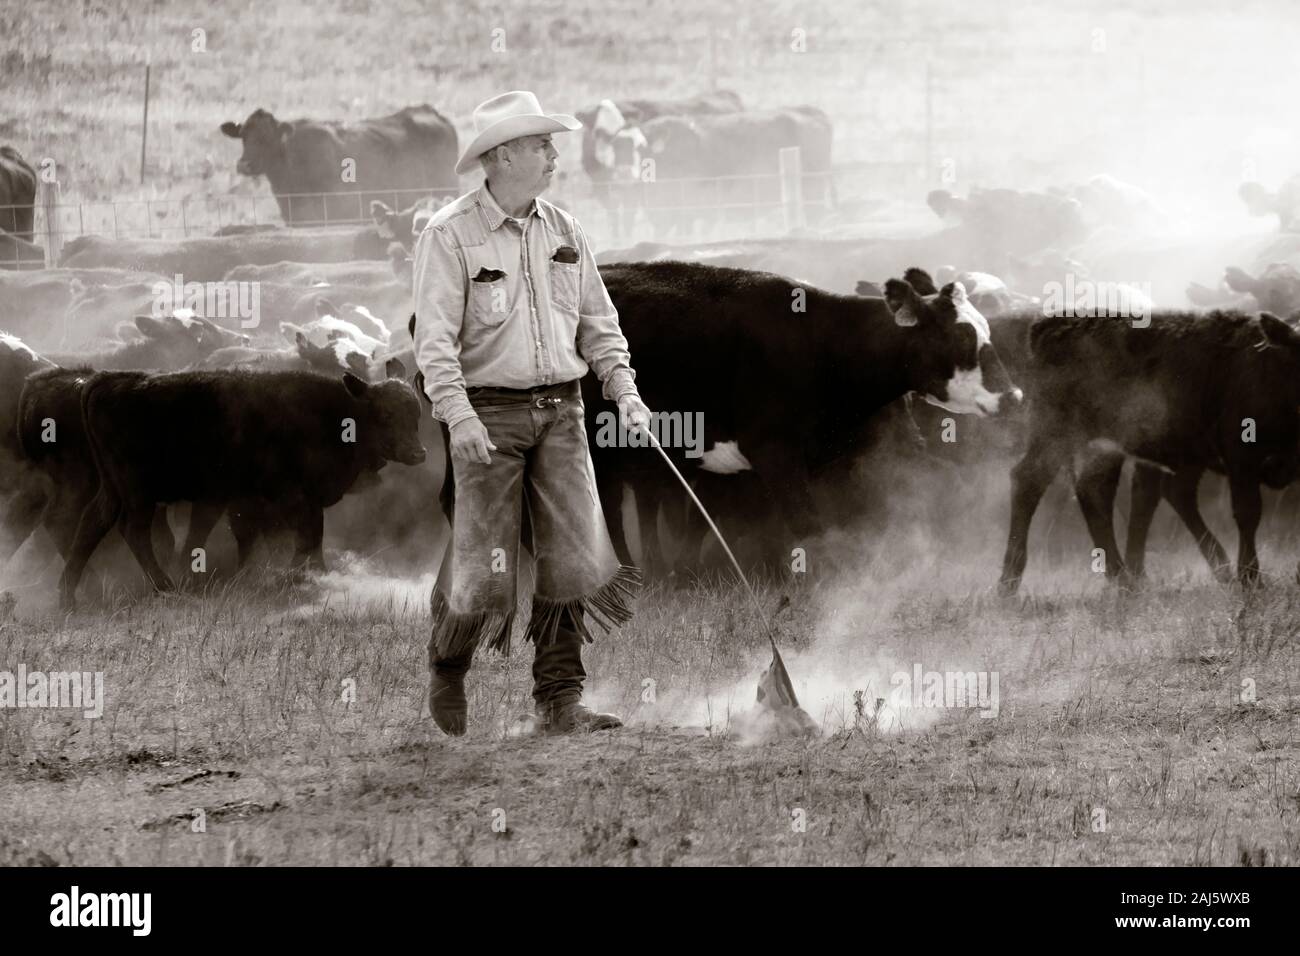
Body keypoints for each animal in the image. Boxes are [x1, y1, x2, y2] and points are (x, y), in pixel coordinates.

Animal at [57, 368, 426, 607]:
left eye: (417, 414)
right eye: (386, 414)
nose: (418, 452)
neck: (335, 413)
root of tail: (109, 380)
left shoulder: (246, 502)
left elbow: (259, 539)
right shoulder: (291, 497)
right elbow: (306, 537)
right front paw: (312, 581)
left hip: (114, 491)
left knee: (92, 524)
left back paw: (67, 596)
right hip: (139, 494)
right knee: (133, 531)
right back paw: (165, 587)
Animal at [998, 310, 1300, 593]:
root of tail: (1050, 326)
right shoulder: (1242, 458)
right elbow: (1248, 512)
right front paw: (1251, 580)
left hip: (1123, 447)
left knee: (1105, 492)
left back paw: (1127, 578)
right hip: (1054, 434)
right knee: (1029, 481)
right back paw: (1009, 583)